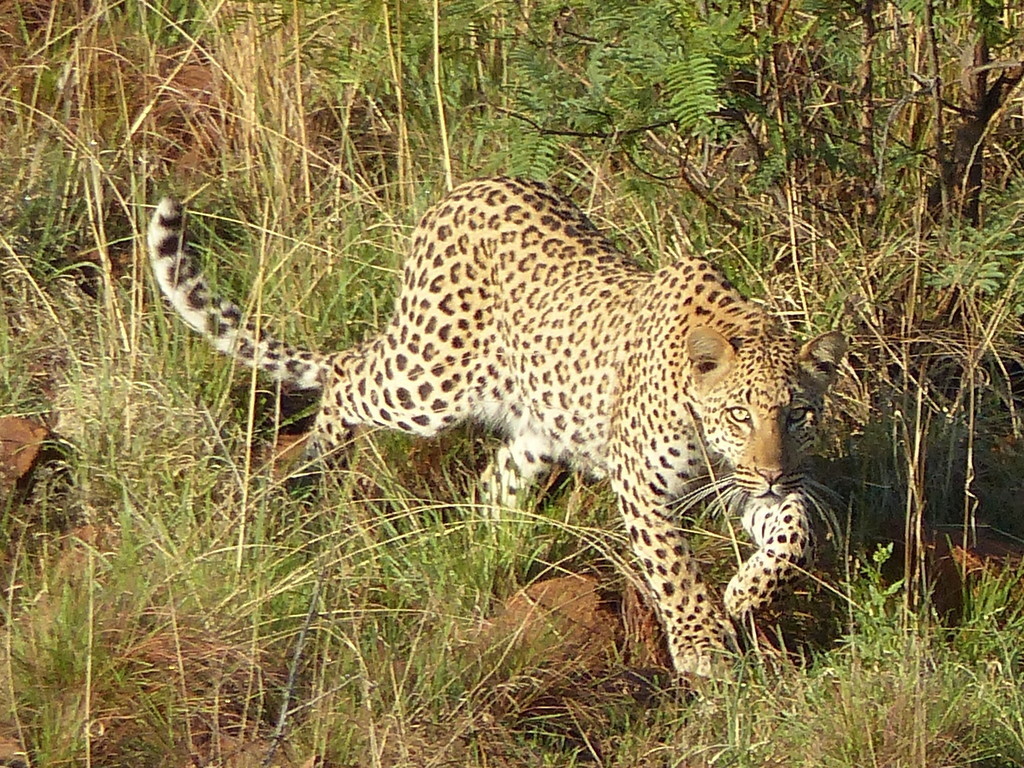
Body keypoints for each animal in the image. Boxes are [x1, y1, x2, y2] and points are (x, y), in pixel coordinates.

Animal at [147, 176, 846, 677]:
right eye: (739, 413)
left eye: (798, 415)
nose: (776, 473)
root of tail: (460, 191)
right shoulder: (644, 487)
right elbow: (675, 568)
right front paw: (703, 644)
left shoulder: (746, 483)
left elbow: (794, 532)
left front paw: (746, 593)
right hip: (427, 379)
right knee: (347, 373)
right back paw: (317, 457)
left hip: (535, 428)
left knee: (492, 484)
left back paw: (493, 556)